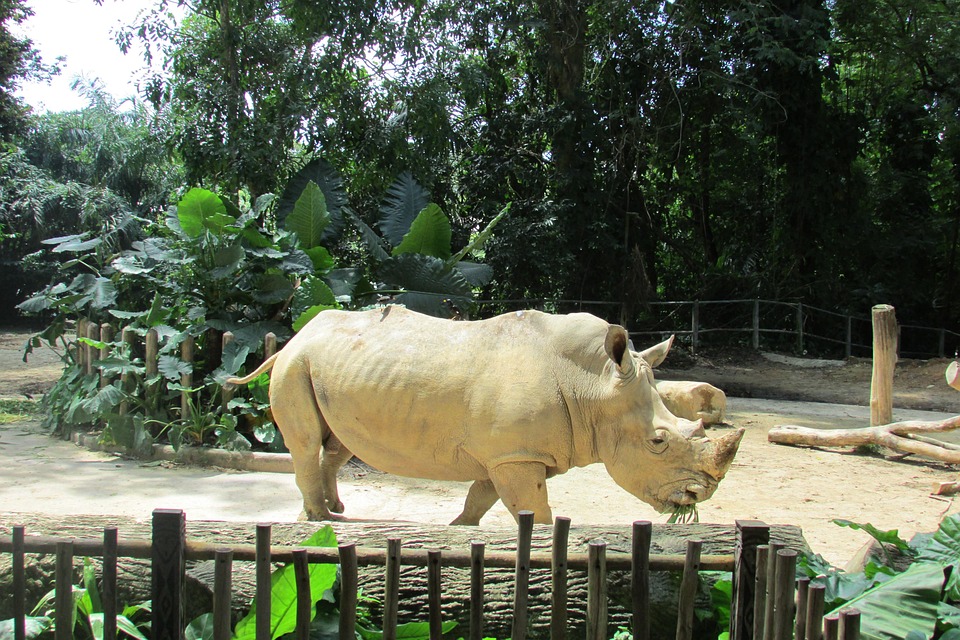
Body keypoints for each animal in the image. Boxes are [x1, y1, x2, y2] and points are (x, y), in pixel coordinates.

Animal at [228, 306, 743, 525]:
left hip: (322, 365)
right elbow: (534, 511)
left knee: (337, 444)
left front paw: (459, 531)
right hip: (297, 365)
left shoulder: (509, 453)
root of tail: (295, 336)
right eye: (658, 441)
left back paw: (335, 510)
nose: (699, 495)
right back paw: (319, 520)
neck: (594, 385)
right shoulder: (515, 454)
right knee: (306, 442)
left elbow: (483, 498)